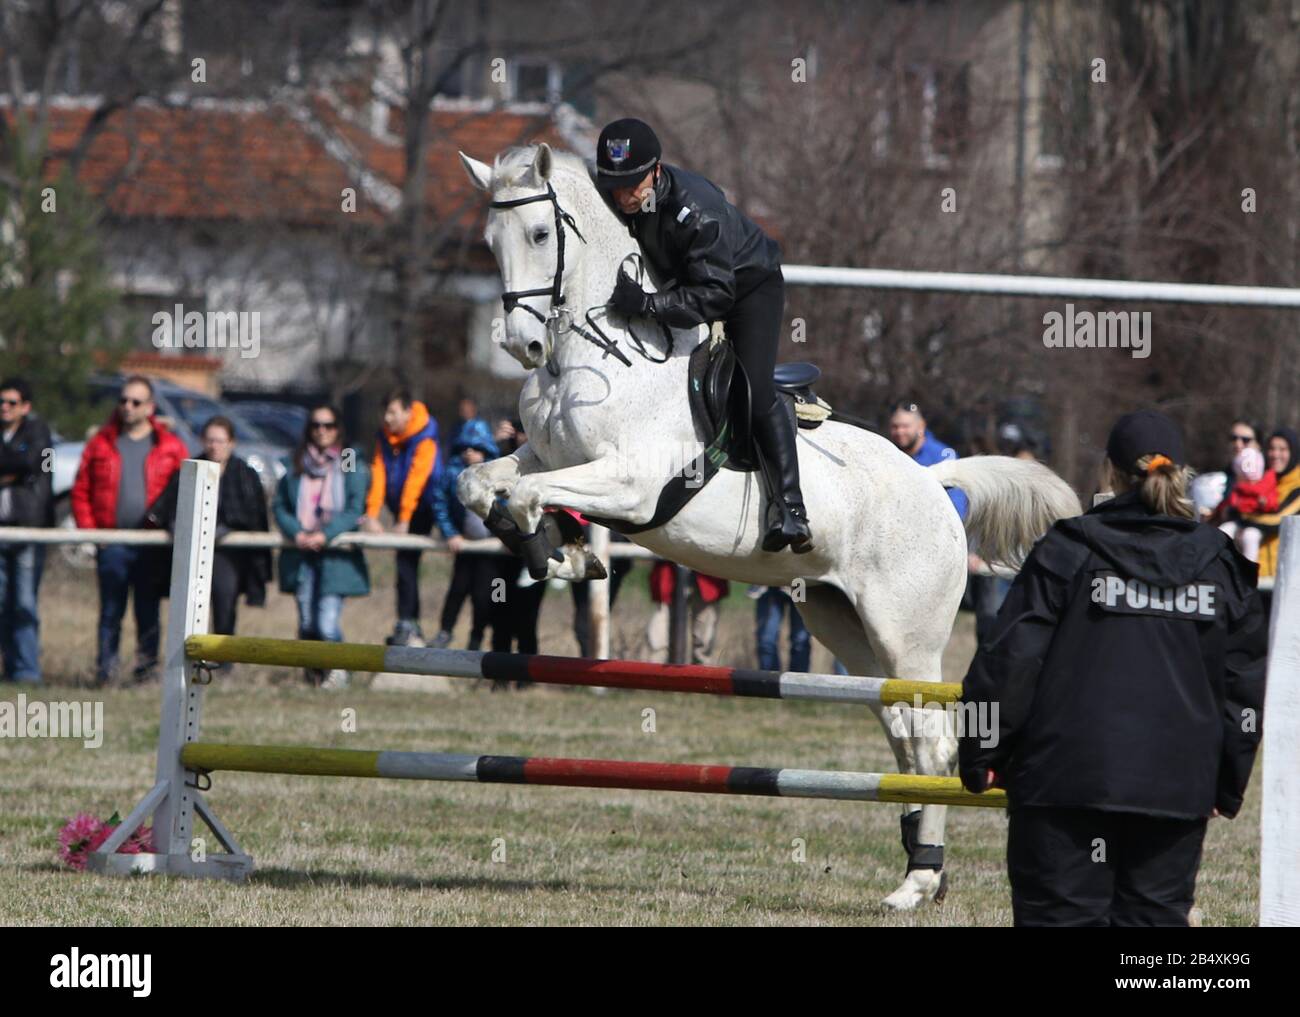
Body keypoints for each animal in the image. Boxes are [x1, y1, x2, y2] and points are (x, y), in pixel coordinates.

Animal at [456, 143, 1080, 910]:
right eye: (490, 241)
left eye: (541, 234)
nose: (521, 345)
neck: (601, 354)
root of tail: (934, 485)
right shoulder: (548, 456)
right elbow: (484, 484)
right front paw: (563, 550)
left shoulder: (629, 484)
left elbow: (529, 494)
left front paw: (564, 552)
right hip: (845, 624)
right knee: (902, 729)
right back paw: (917, 865)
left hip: (907, 635)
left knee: (930, 739)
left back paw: (918, 880)